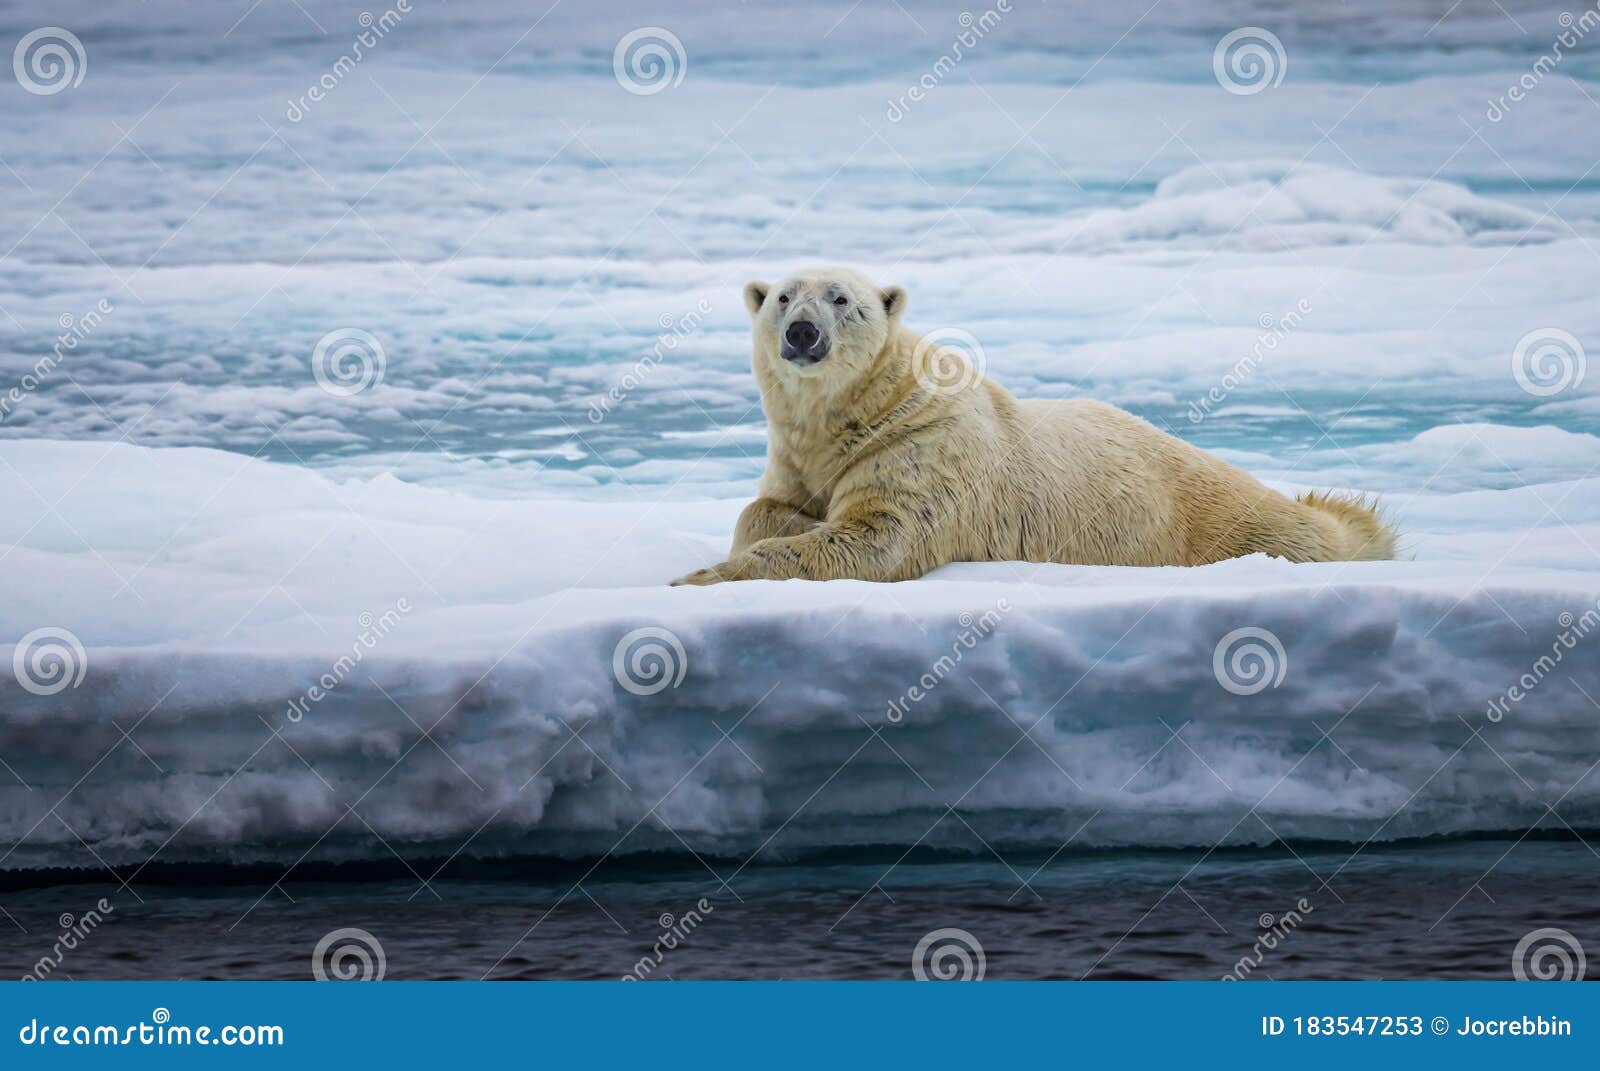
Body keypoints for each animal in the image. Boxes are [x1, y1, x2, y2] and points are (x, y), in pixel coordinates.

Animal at [671, 267, 1394, 586]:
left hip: (1213, 517)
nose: (801, 332)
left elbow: (877, 538)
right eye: (784, 296)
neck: (863, 410)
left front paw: (697, 577)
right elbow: (767, 507)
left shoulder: (923, 450)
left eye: (842, 298)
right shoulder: (799, 453)